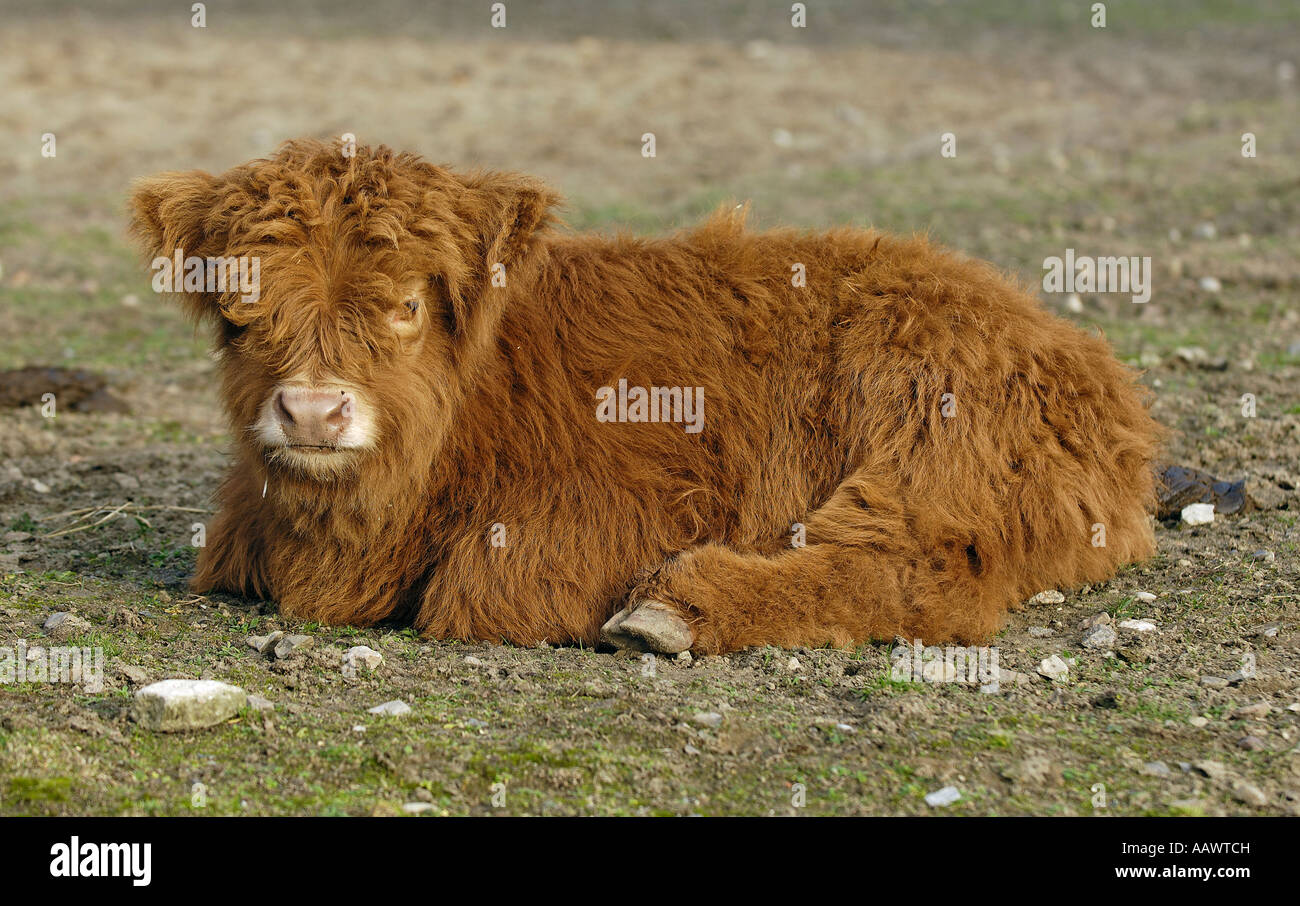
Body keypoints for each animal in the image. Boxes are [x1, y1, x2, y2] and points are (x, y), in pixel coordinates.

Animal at [128, 139, 1160, 654]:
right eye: (241, 310)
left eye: (409, 304)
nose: (312, 411)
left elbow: (487, 587)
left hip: (926, 444)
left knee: (918, 567)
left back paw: (674, 613)